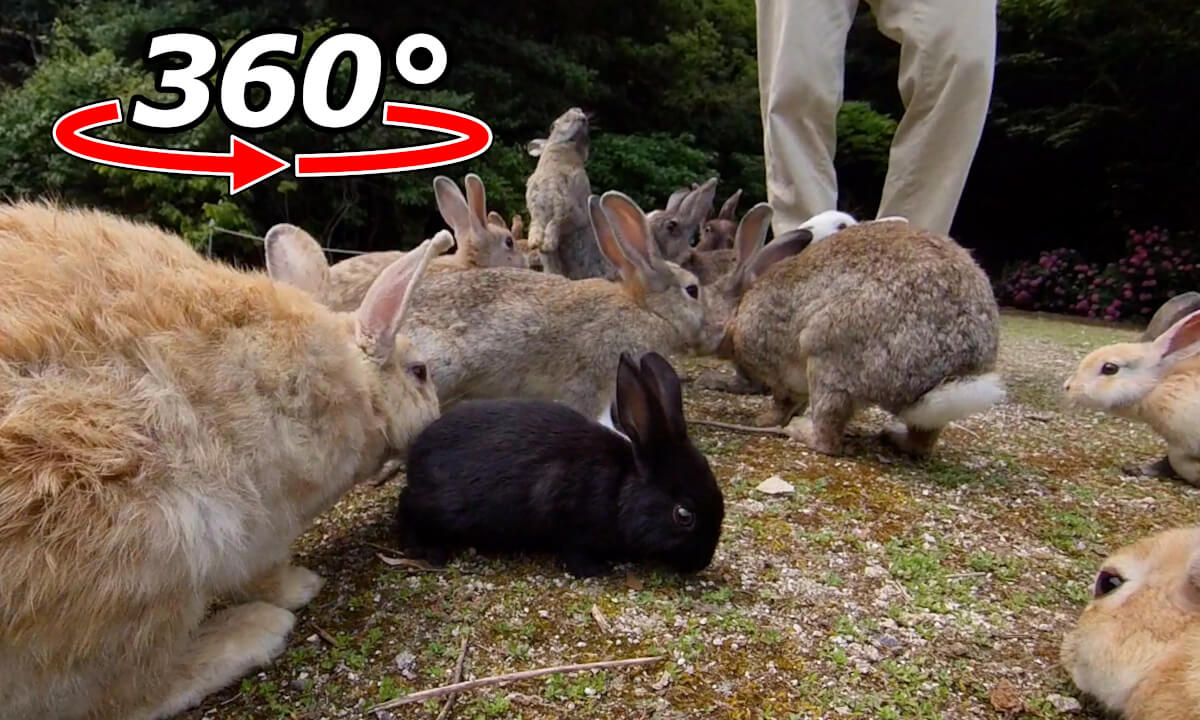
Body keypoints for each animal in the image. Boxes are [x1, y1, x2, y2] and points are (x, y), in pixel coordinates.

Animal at [0, 202, 448, 720]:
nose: (436, 418)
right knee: (123, 695)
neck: (358, 388)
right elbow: (266, 569)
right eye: (420, 371)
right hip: (150, 546)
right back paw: (255, 632)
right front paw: (301, 586)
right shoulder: (270, 514)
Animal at [394, 351, 724, 578]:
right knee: (406, 506)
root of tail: (416, 456)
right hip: (444, 509)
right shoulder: (568, 520)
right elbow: (575, 552)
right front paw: (598, 570)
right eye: (684, 515)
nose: (702, 562)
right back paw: (430, 551)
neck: (621, 487)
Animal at [526, 107, 605, 279]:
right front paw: (534, 242)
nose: (578, 112)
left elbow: (557, 221)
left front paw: (547, 244)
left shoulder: (572, 208)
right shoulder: (536, 206)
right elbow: (536, 223)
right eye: (552, 126)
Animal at [697, 205, 1003, 457]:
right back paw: (893, 437)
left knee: (828, 438)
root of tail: (949, 368)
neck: (740, 310)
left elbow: (782, 400)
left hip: (826, 357)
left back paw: (798, 430)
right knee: (923, 441)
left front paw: (766, 419)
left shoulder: (777, 370)